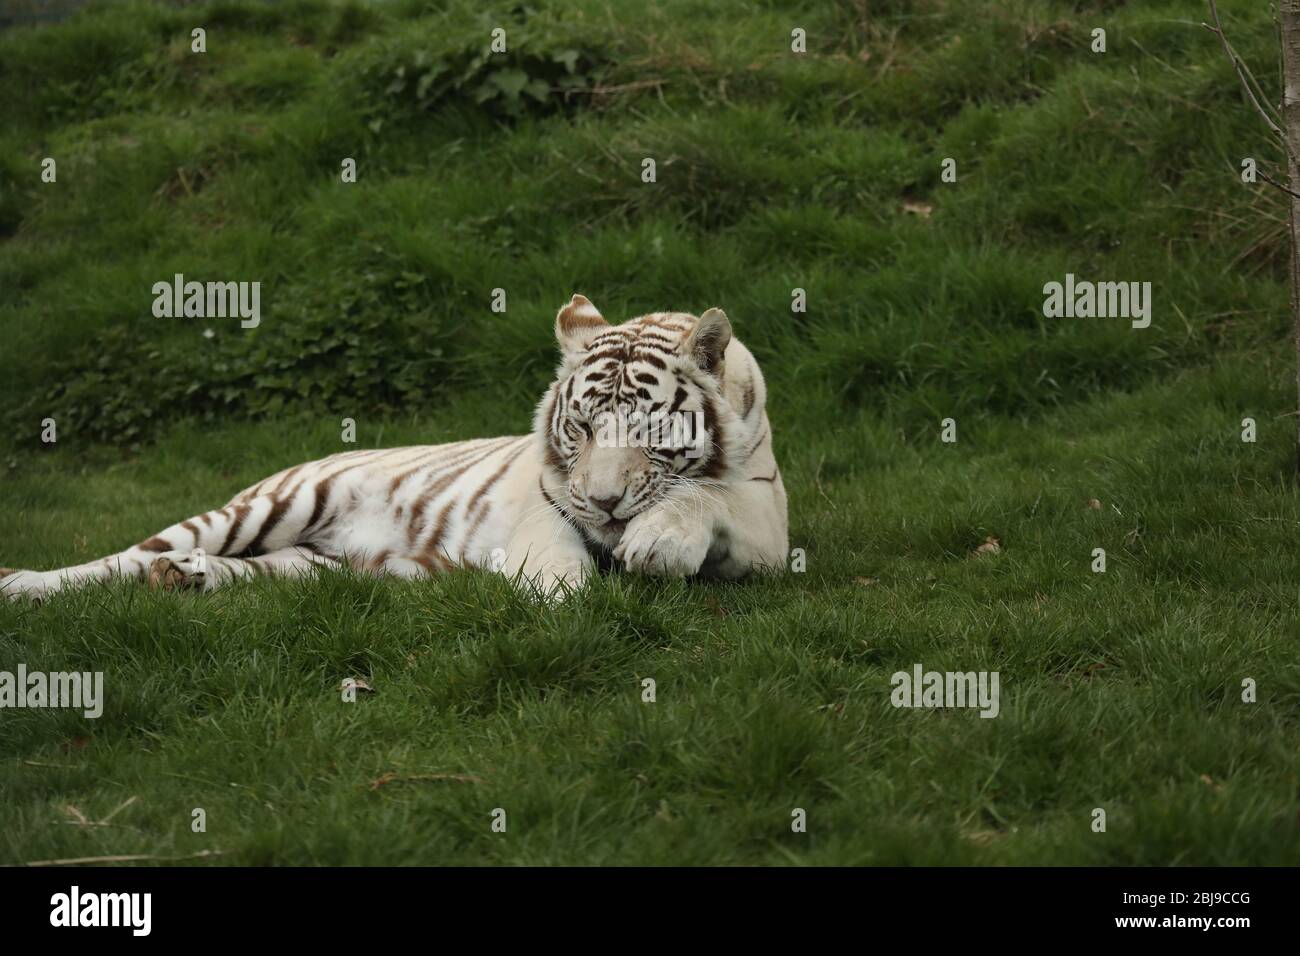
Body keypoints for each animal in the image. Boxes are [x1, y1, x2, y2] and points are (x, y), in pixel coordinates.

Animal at [0, 295, 789, 602]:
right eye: (583, 428)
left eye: (649, 431)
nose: (604, 501)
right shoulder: (548, 504)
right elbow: (557, 556)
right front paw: (556, 592)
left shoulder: (766, 517)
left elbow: (706, 492)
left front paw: (658, 540)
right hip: (269, 506)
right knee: (125, 558)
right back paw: (28, 584)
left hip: (311, 567)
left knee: (242, 573)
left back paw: (191, 579)